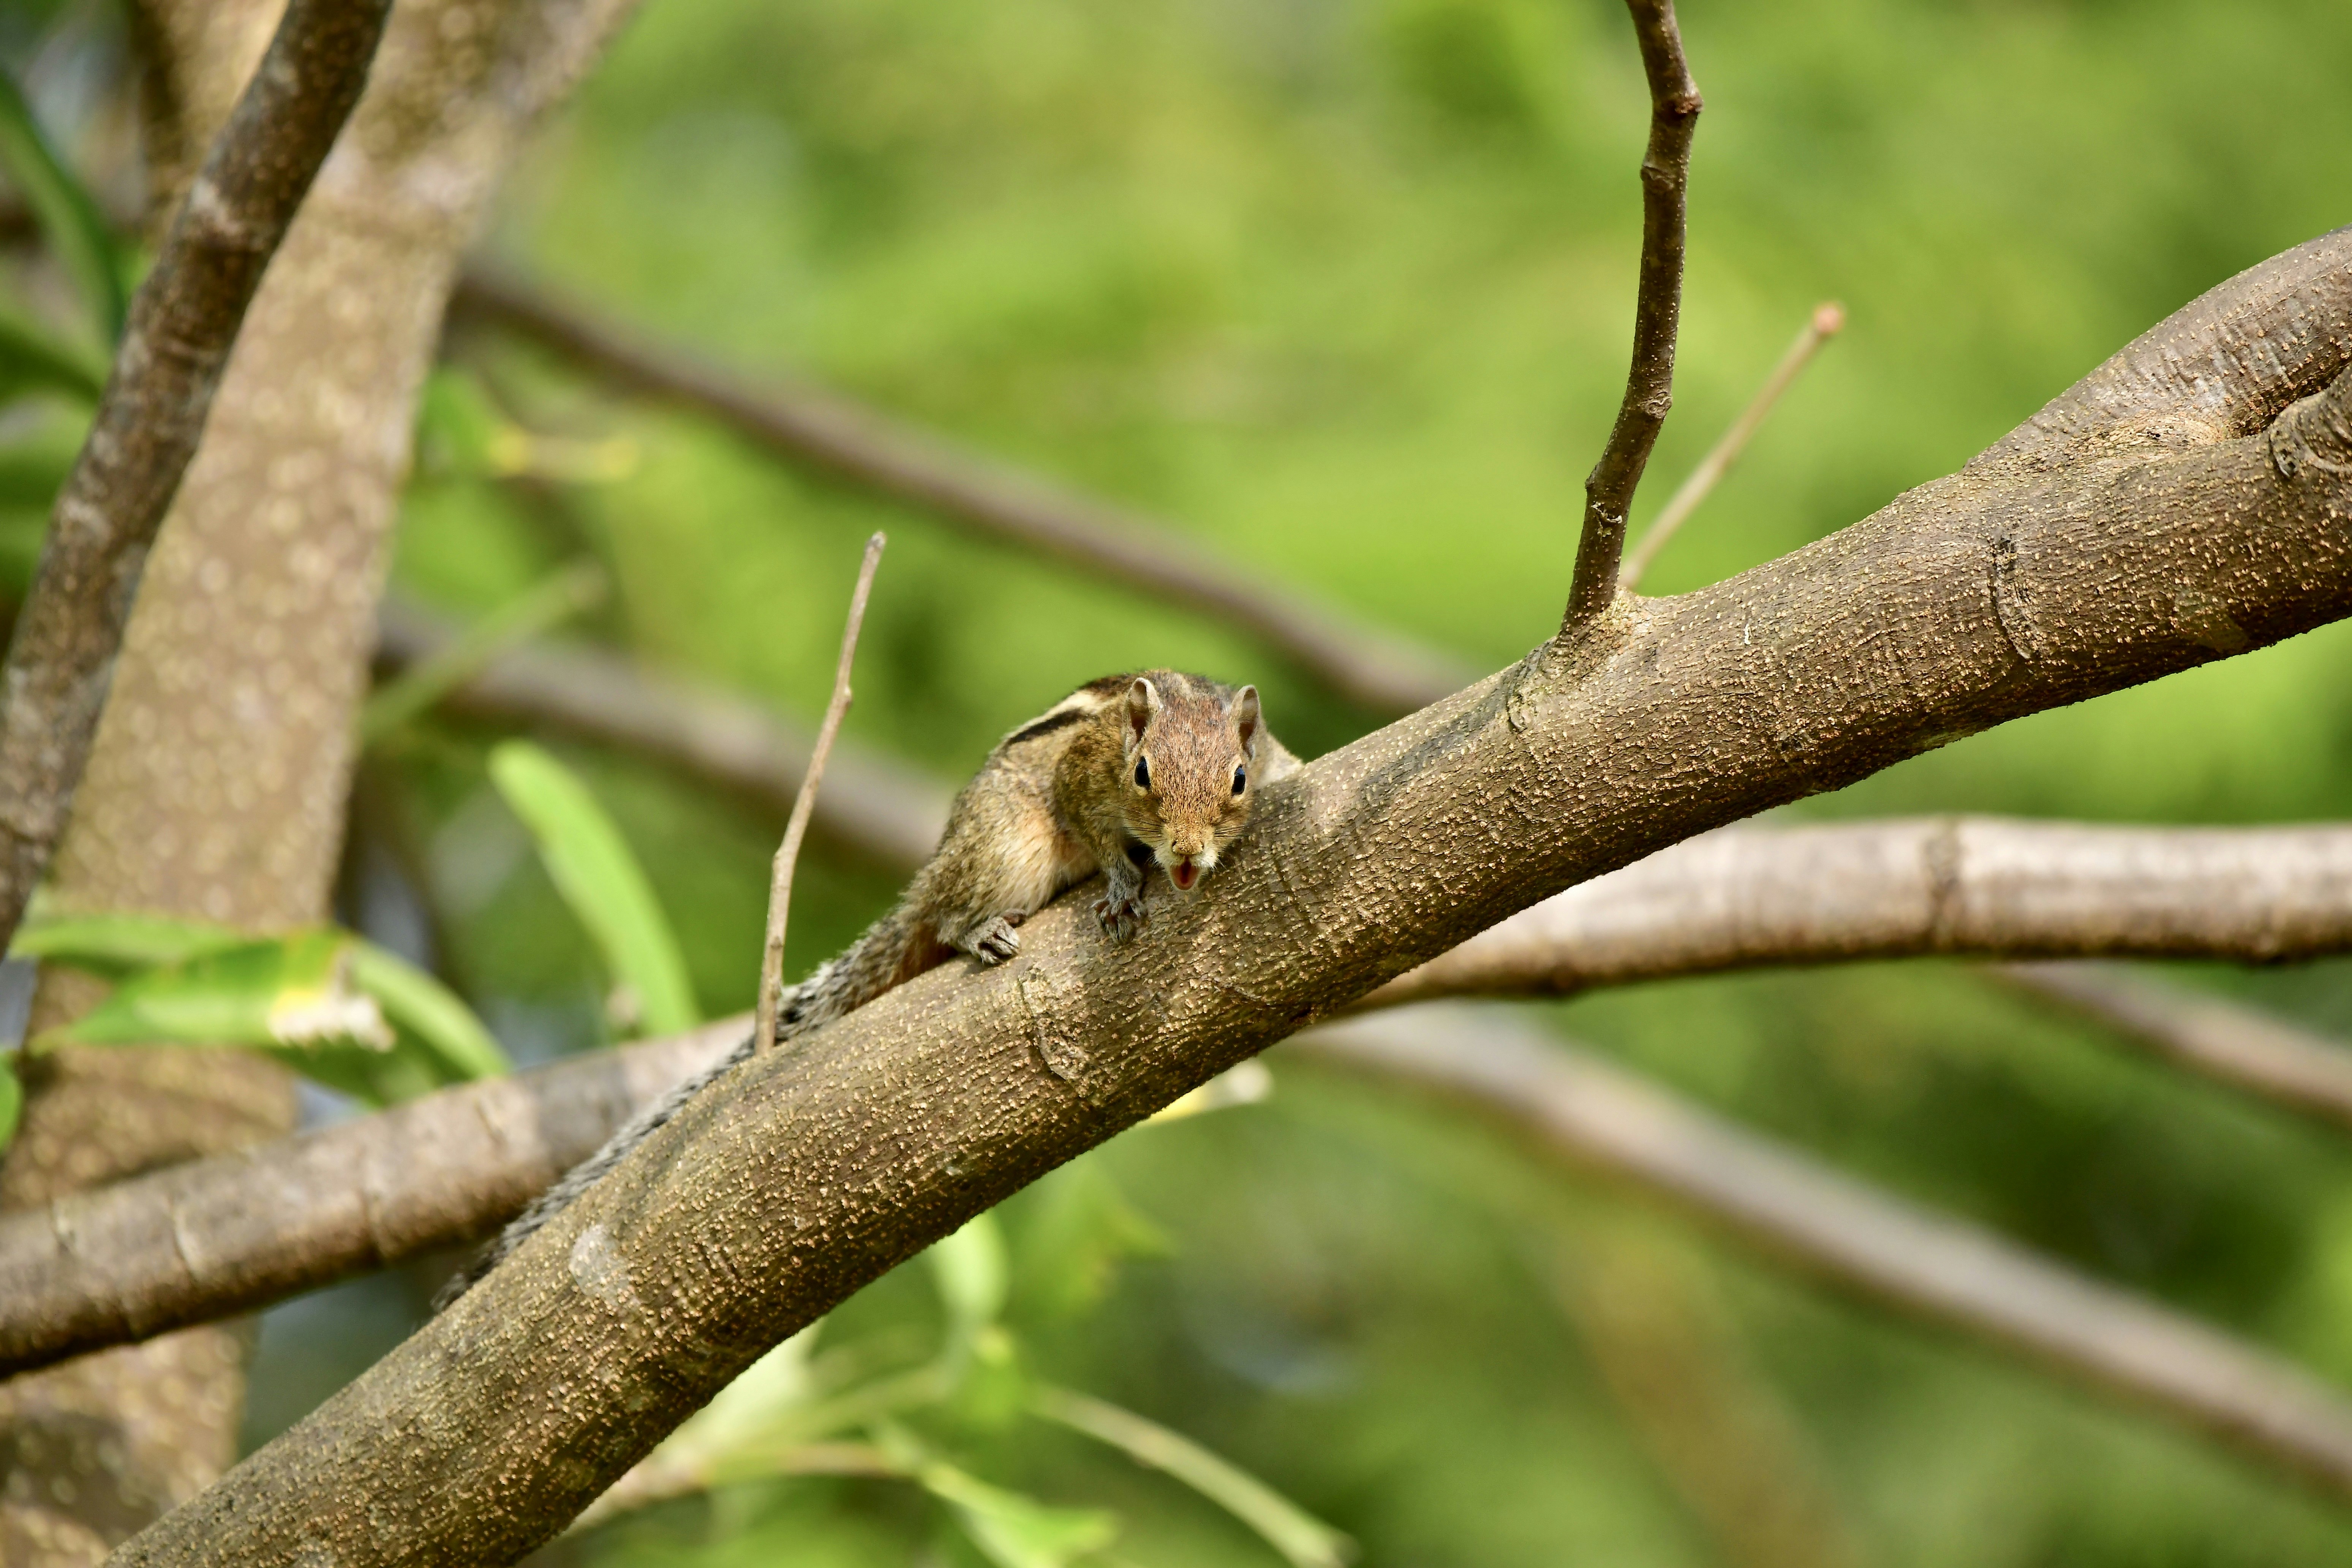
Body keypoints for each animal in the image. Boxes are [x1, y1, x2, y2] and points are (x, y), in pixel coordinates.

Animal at [436, 670, 1296, 1308]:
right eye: (1144, 774)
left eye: (1238, 780)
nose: (1183, 855)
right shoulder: (1081, 776)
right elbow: (1093, 825)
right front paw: (1121, 879)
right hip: (1003, 848)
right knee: (948, 913)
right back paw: (980, 929)